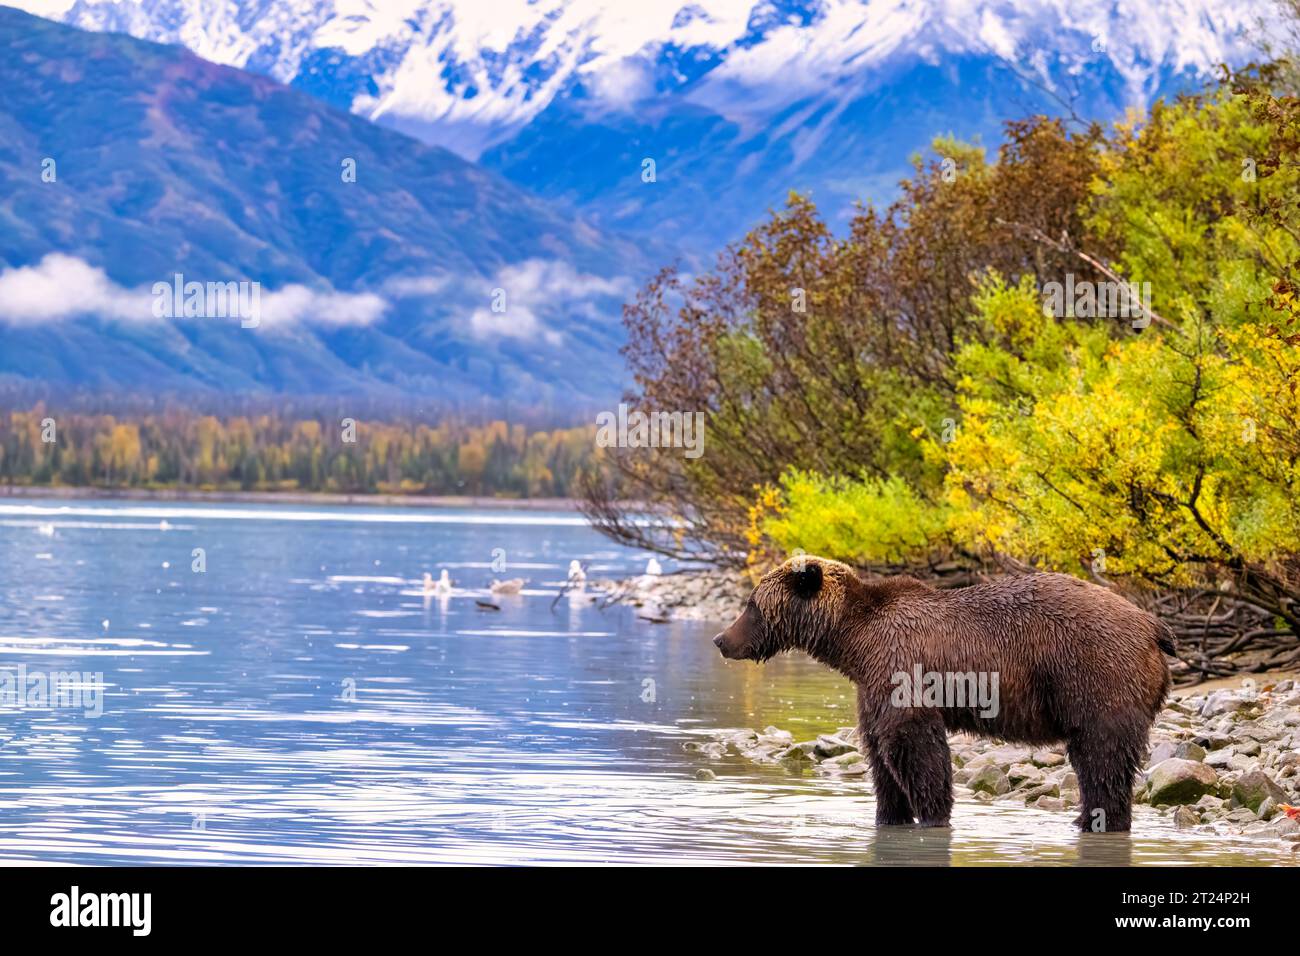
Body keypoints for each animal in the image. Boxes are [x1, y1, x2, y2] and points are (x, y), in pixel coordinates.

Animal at [712, 556, 1173, 832]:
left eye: (752, 604)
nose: (721, 639)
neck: (854, 643)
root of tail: (1153, 626)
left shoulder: (903, 668)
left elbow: (914, 747)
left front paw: (933, 816)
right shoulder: (872, 685)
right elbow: (879, 754)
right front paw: (889, 815)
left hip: (1094, 674)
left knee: (1101, 756)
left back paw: (1097, 820)